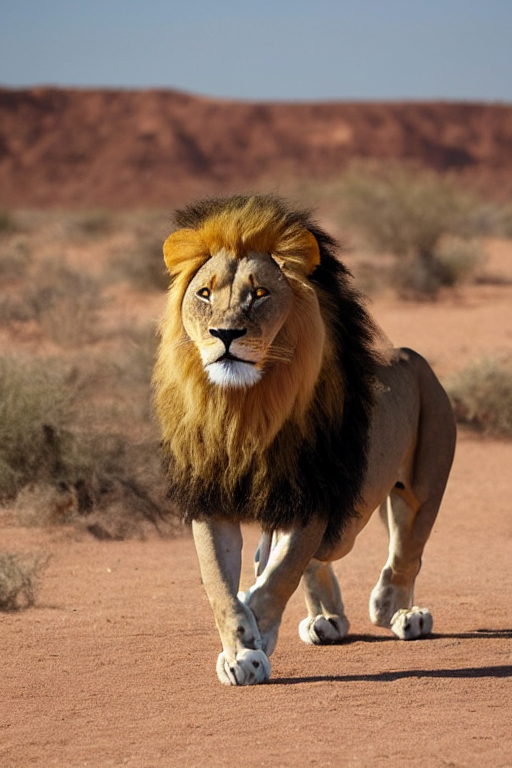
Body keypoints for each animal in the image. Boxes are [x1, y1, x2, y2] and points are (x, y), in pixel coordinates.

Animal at [153, 194, 456, 686]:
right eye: (204, 294)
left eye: (260, 294)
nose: (225, 335)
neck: (244, 407)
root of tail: (408, 355)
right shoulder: (211, 499)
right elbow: (220, 585)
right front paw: (240, 652)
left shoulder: (312, 494)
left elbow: (279, 575)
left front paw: (258, 631)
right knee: (324, 559)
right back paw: (326, 621)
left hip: (417, 485)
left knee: (408, 548)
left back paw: (401, 611)